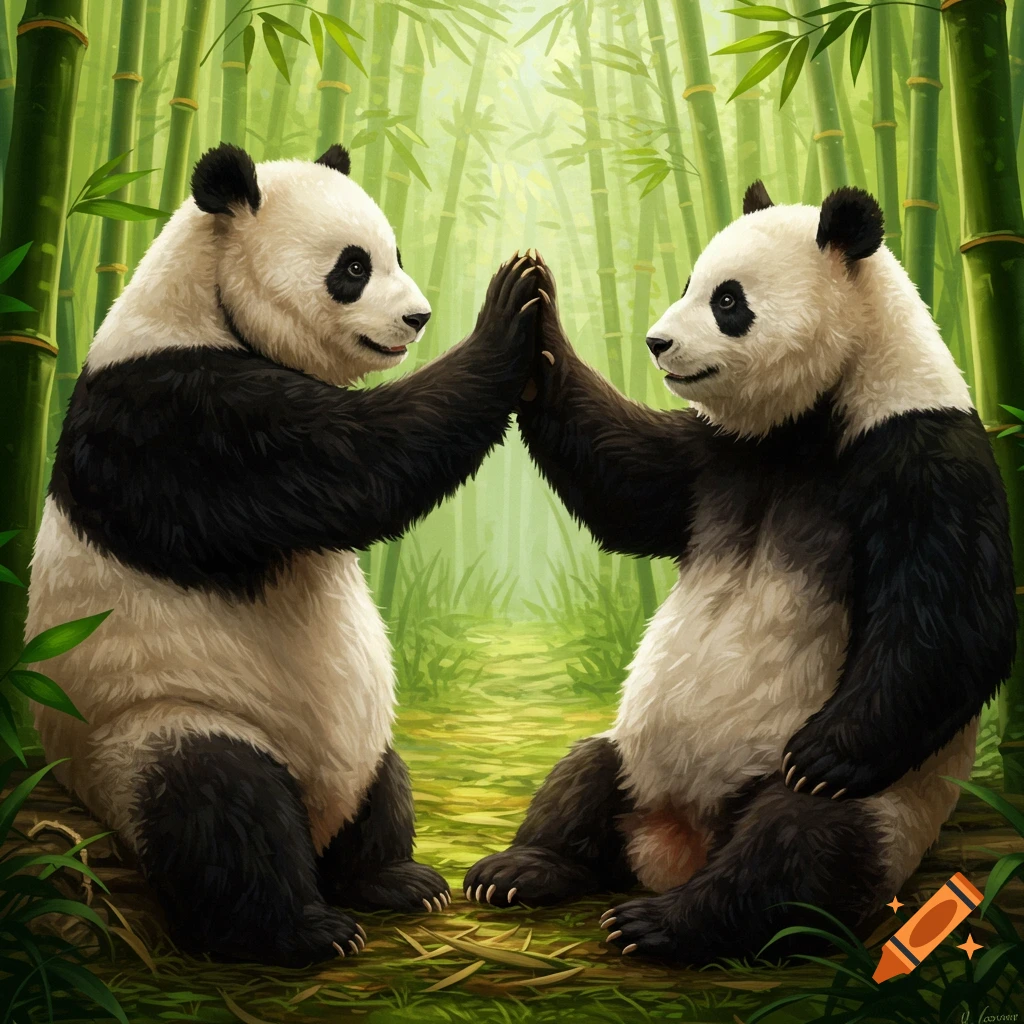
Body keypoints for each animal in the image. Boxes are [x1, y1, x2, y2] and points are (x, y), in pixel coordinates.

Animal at [26, 142, 541, 968]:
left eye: (397, 253)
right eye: (353, 267)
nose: (419, 318)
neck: (199, 303)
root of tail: (319, 819)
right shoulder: (174, 419)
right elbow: (359, 466)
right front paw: (513, 308)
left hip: (363, 737)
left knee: (382, 784)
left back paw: (393, 879)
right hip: (150, 729)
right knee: (222, 806)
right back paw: (303, 929)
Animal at [464, 182, 1017, 964]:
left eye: (729, 301)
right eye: (687, 283)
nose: (656, 342)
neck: (813, 419)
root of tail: (677, 845)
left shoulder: (916, 449)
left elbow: (958, 617)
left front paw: (822, 755)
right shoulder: (718, 453)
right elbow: (624, 480)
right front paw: (527, 306)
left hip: (880, 807)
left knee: (798, 846)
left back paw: (667, 921)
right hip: (636, 754)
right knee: (581, 775)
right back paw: (522, 868)